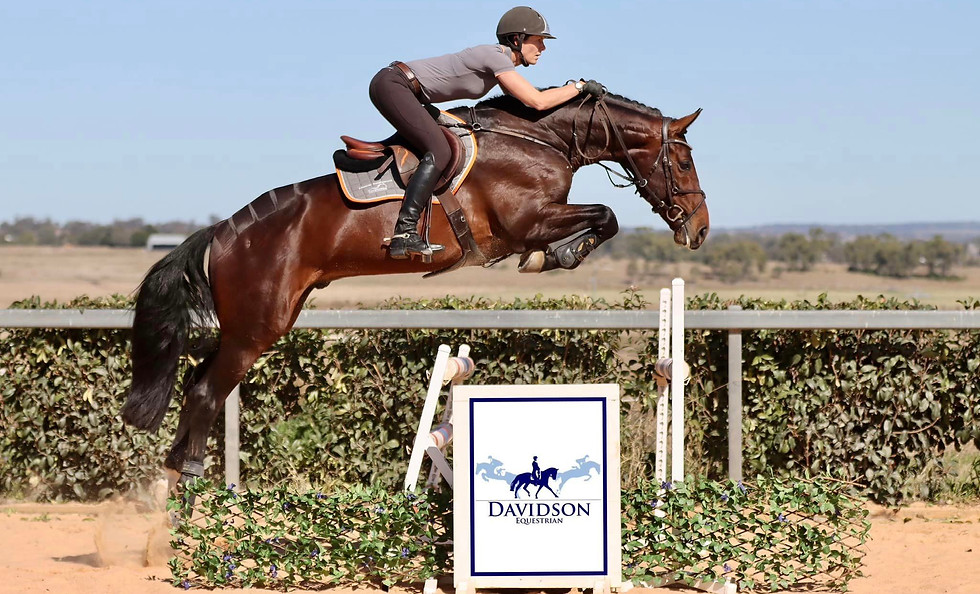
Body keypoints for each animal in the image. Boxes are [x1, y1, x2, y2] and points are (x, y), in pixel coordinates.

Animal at [119, 90, 710, 488]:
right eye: (683, 160)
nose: (700, 230)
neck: (539, 138)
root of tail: (221, 233)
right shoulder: (526, 220)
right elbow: (605, 214)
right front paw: (557, 255)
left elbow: (601, 218)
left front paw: (559, 254)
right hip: (256, 327)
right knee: (205, 392)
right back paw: (192, 475)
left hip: (260, 321)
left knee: (197, 382)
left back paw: (172, 472)